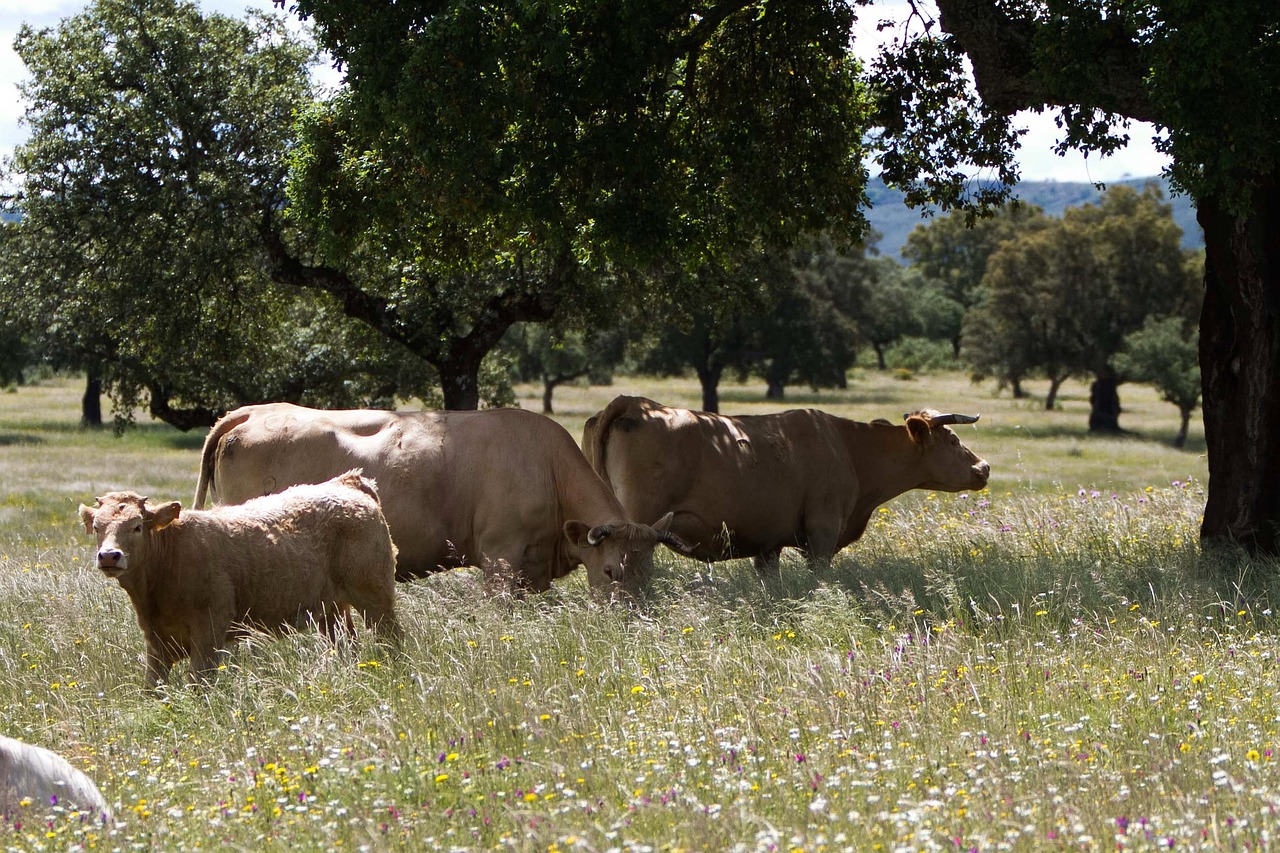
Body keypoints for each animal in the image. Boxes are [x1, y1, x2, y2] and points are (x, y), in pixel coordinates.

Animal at [80, 470, 401, 690]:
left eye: (136, 526)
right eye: (96, 527)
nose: (109, 555)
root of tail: (346, 483)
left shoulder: (209, 632)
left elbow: (199, 682)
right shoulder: (156, 641)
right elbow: (152, 688)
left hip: (376, 599)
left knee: (391, 638)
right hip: (330, 610)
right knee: (345, 645)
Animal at [582, 396, 991, 571]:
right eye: (952, 439)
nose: (984, 468)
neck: (847, 447)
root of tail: (634, 403)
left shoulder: (768, 543)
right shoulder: (822, 533)